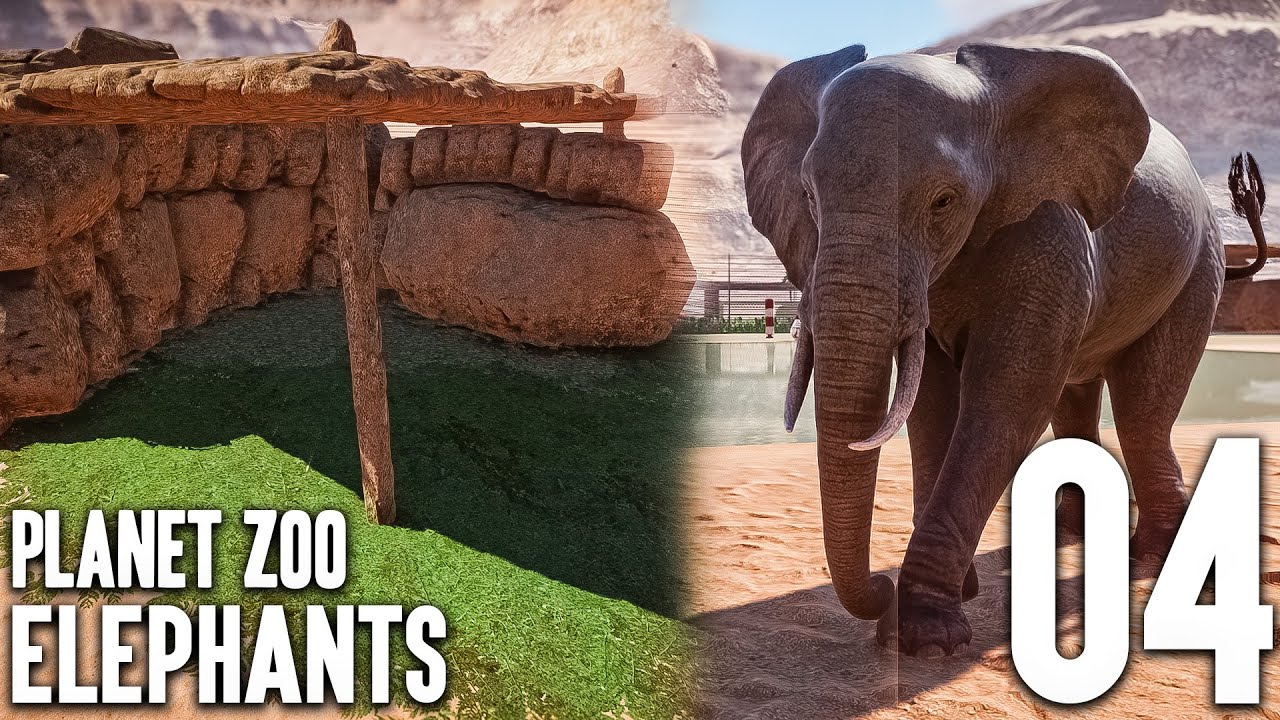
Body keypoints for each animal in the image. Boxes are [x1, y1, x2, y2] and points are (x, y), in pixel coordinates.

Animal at [741, 42, 1270, 657]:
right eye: (808, 196)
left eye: (944, 201)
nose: (880, 586)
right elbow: (931, 407)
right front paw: (951, 597)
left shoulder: (1049, 231)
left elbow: (1007, 400)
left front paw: (926, 637)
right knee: (1075, 400)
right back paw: (1070, 532)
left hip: (1198, 265)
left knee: (1142, 412)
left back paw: (1152, 558)